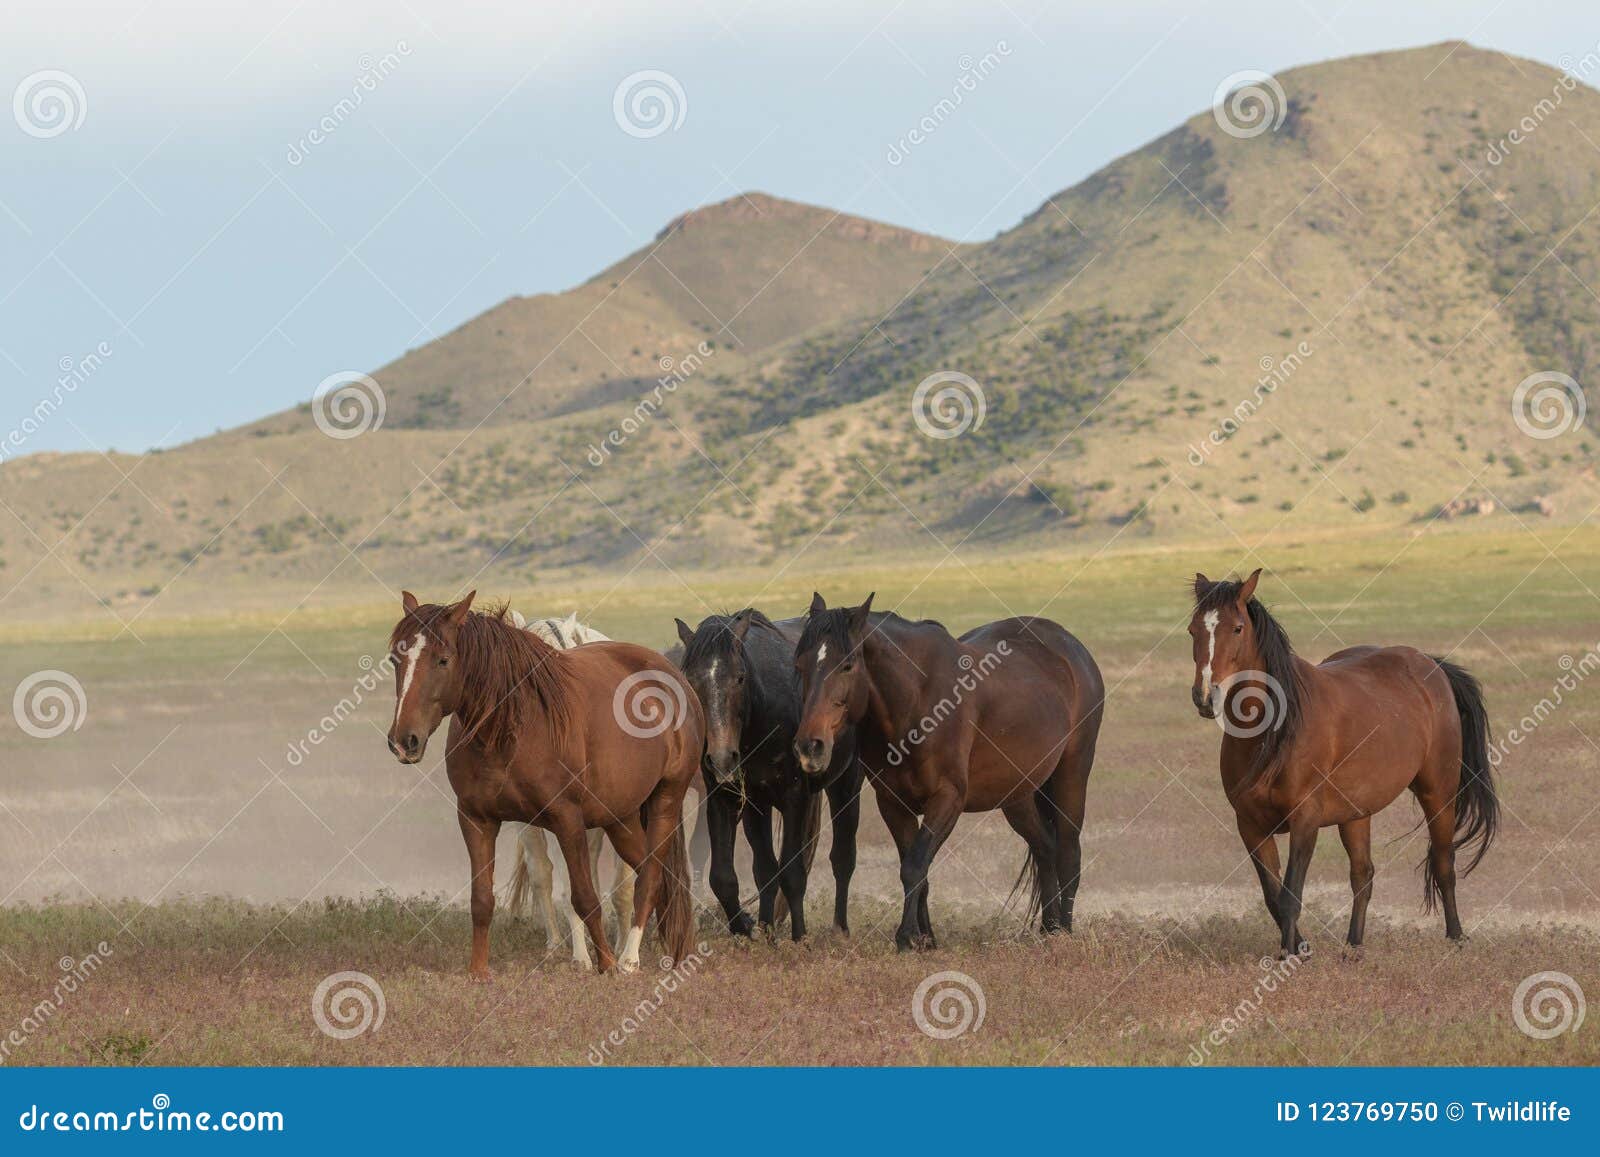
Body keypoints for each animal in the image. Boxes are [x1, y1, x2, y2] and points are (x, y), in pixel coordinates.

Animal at [674, 609, 864, 940]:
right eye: (691, 680)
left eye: (740, 677)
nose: (721, 758)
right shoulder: (729, 798)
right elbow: (732, 876)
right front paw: (748, 930)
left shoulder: (795, 798)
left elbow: (792, 872)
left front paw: (799, 936)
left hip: (846, 784)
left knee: (842, 858)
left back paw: (840, 928)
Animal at [793, 593, 1104, 949]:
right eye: (799, 665)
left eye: (847, 665)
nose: (810, 746)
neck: (916, 701)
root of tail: (1070, 648)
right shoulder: (892, 803)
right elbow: (916, 868)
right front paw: (925, 938)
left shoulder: (947, 798)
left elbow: (915, 865)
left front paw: (906, 937)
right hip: (1018, 795)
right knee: (1045, 849)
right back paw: (1048, 928)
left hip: (1072, 775)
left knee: (1068, 852)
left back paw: (1064, 931)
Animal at [1187, 569, 1499, 957]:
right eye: (1193, 630)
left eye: (1238, 628)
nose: (1204, 695)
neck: (1273, 733)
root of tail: (1429, 664)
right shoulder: (1251, 827)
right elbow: (1273, 897)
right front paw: (1300, 949)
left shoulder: (1305, 820)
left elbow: (1290, 895)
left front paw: (1288, 956)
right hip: (1356, 814)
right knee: (1363, 875)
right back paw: (1354, 946)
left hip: (1438, 794)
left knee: (1444, 864)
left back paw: (1456, 937)